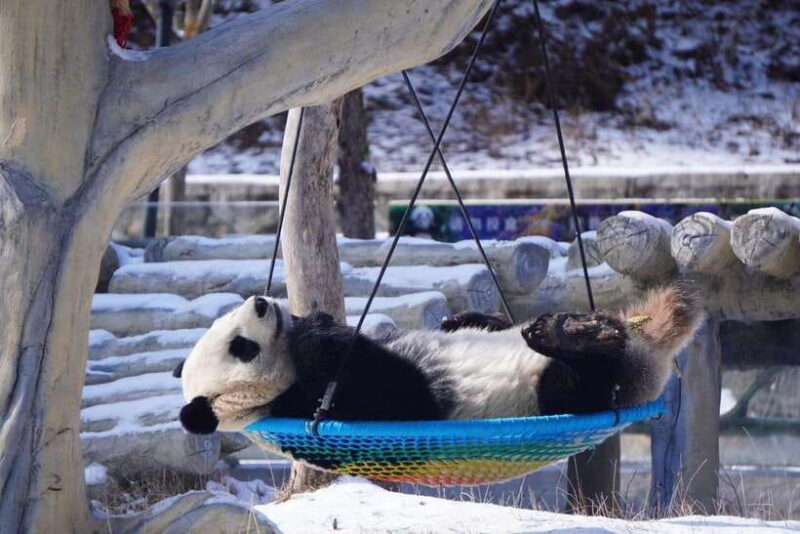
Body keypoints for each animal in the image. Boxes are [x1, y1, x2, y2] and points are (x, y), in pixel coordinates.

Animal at [175, 284, 702, 435]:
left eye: (229, 323)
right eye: (240, 347)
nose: (262, 302)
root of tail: (648, 354)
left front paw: (311, 318)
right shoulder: (331, 404)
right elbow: (397, 387)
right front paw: (314, 332)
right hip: (555, 393)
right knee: (580, 381)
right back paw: (580, 336)